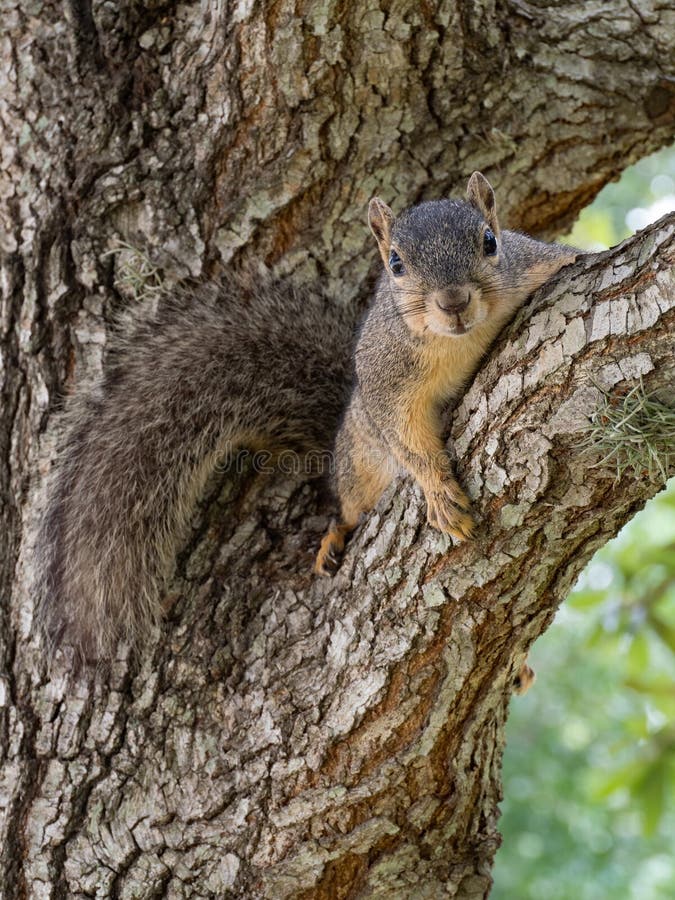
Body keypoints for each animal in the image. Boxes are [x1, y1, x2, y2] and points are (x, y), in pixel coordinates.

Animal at [36, 172, 577, 664]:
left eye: (490, 241)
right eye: (396, 264)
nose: (454, 302)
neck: (459, 340)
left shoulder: (534, 264)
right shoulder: (385, 380)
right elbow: (405, 437)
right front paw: (439, 492)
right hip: (358, 464)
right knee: (348, 507)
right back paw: (334, 537)